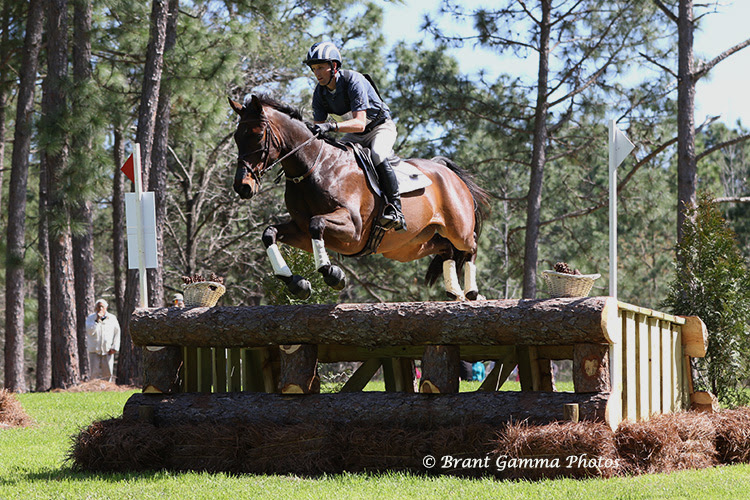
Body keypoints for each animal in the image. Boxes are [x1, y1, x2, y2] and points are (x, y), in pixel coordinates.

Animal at [230, 94, 490, 301]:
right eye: (236, 137)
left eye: (257, 135)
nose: (242, 186)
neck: (315, 166)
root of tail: (444, 168)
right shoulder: (301, 231)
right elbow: (270, 233)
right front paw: (297, 283)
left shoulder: (352, 228)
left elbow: (317, 223)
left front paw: (333, 274)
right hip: (407, 247)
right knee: (446, 249)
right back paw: (453, 292)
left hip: (458, 230)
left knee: (470, 246)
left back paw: (472, 293)